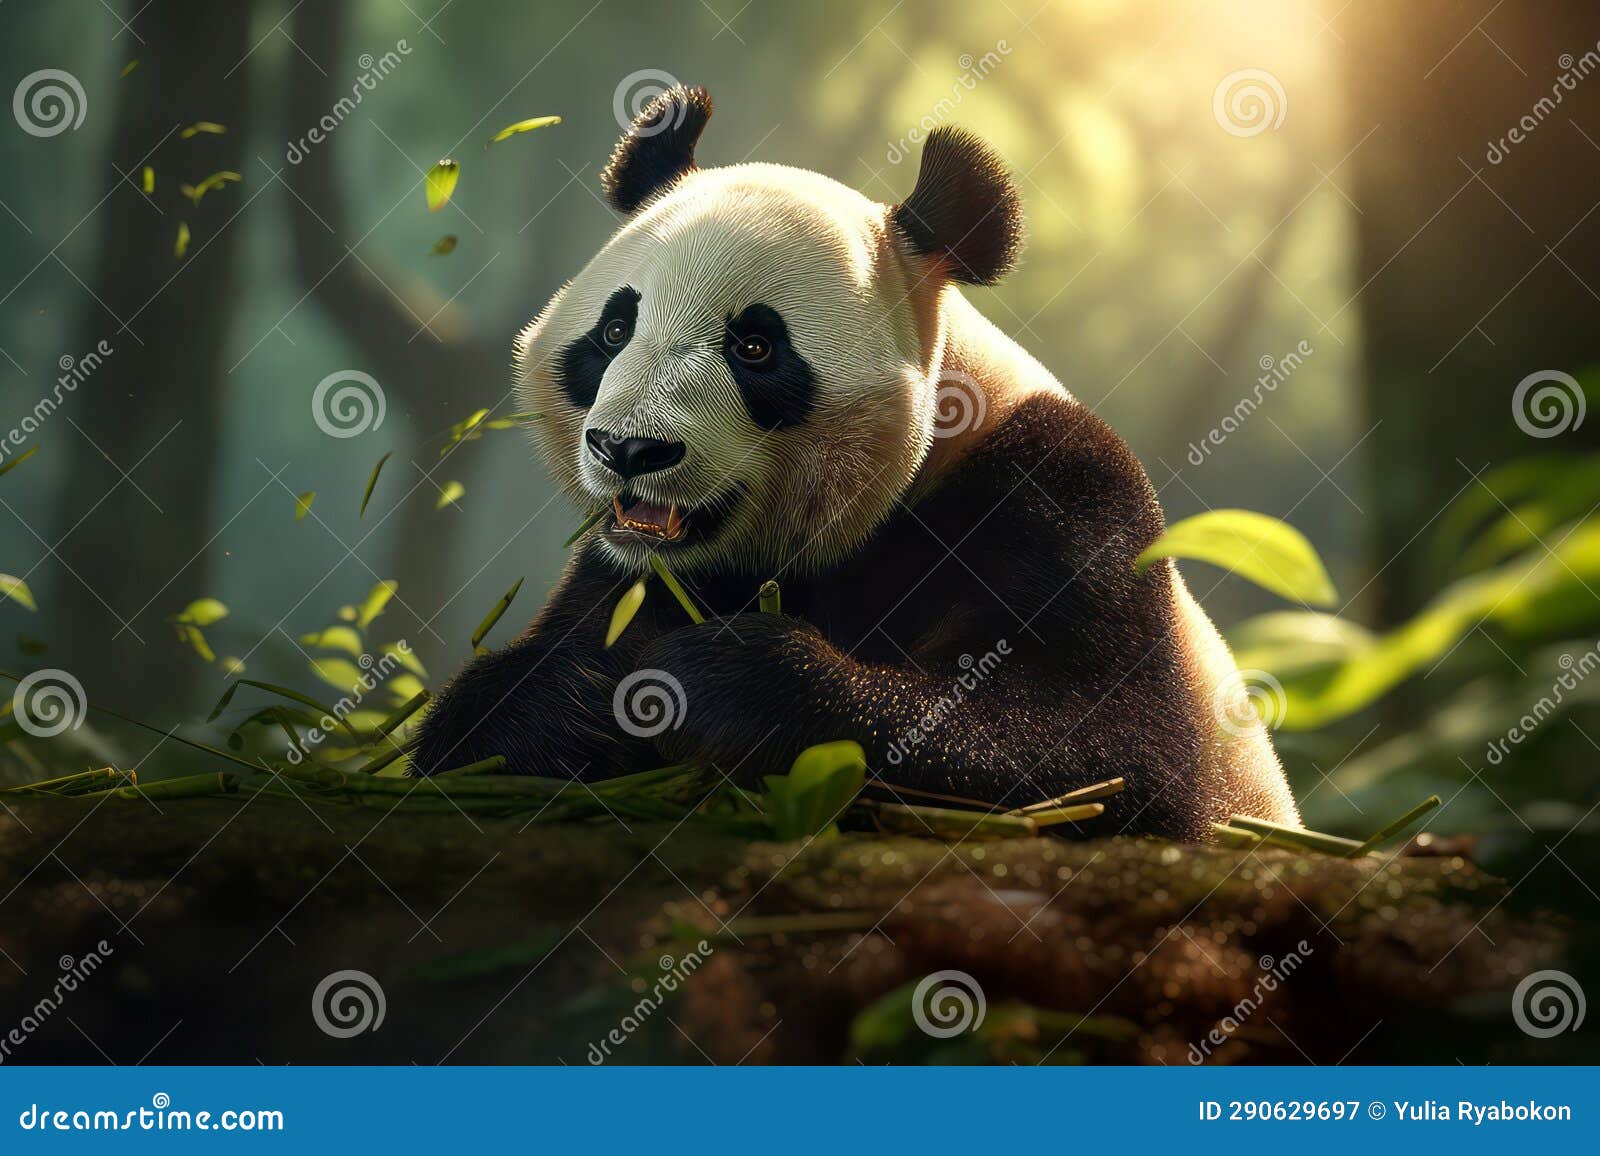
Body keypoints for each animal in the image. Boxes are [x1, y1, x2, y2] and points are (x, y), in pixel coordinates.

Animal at [413, 84, 1300, 841]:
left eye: (756, 347)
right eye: (613, 329)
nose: (630, 448)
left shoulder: (1061, 488)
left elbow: (1109, 753)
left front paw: (719, 684)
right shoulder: (628, 567)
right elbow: (471, 736)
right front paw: (584, 702)